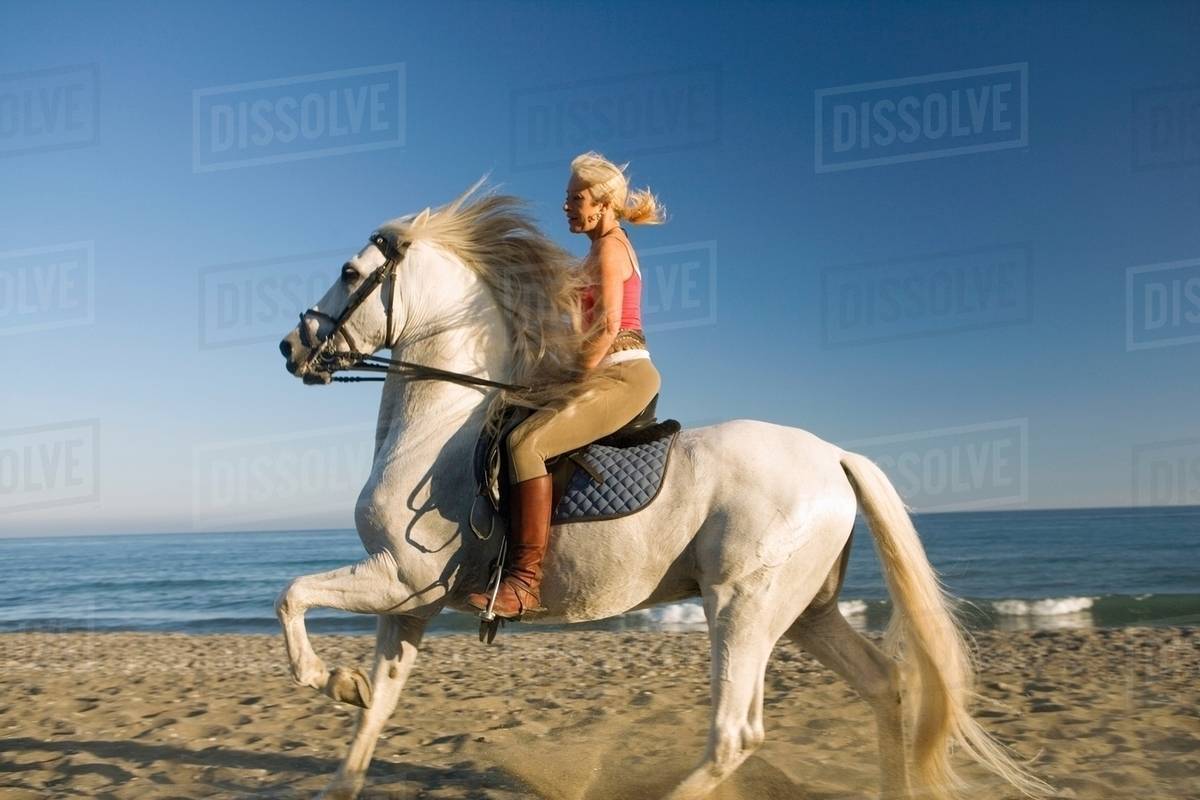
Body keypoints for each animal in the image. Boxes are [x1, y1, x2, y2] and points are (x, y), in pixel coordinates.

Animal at [274, 178, 1051, 800]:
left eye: (348, 271)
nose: (292, 348)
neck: (439, 429)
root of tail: (834, 456)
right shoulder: (408, 604)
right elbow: (377, 708)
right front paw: (349, 699)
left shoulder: (400, 576)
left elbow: (292, 596)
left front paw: (327, 678)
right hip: (806, 613)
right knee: (886, 685)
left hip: (742, 607)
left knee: (736, 735)